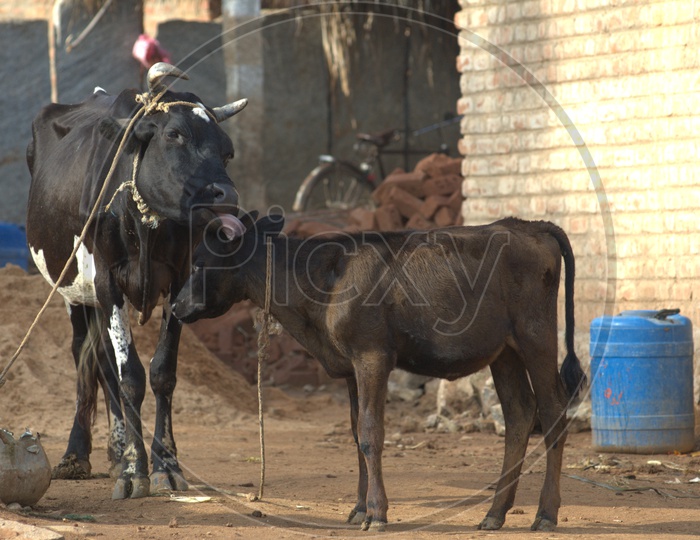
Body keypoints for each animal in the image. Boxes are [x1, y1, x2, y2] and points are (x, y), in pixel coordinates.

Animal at [25, 62, 246, 499]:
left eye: (227, 150)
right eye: (174, 134)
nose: (226, 196)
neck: (146, 219)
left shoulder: (181, 281)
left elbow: (161, 373)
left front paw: (165, 465)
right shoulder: (107, 282)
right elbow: (129, 377)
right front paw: (134, 470)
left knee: (103, 361)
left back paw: (117, 450)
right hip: (75, 291)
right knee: (88, 358)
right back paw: (79, 455)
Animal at [172, 213, 587, 532]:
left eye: (200, 262)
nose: (175, 306)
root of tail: (527, 225)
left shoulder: (371, 356)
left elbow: (371, 433)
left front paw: (376, 513)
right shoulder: (349, 366)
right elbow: (356, 434)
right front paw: (358, 510)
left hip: (536, 336)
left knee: (552, 410)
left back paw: (545, 514)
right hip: (504, 352)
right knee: (519, 414)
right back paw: (494, 514)